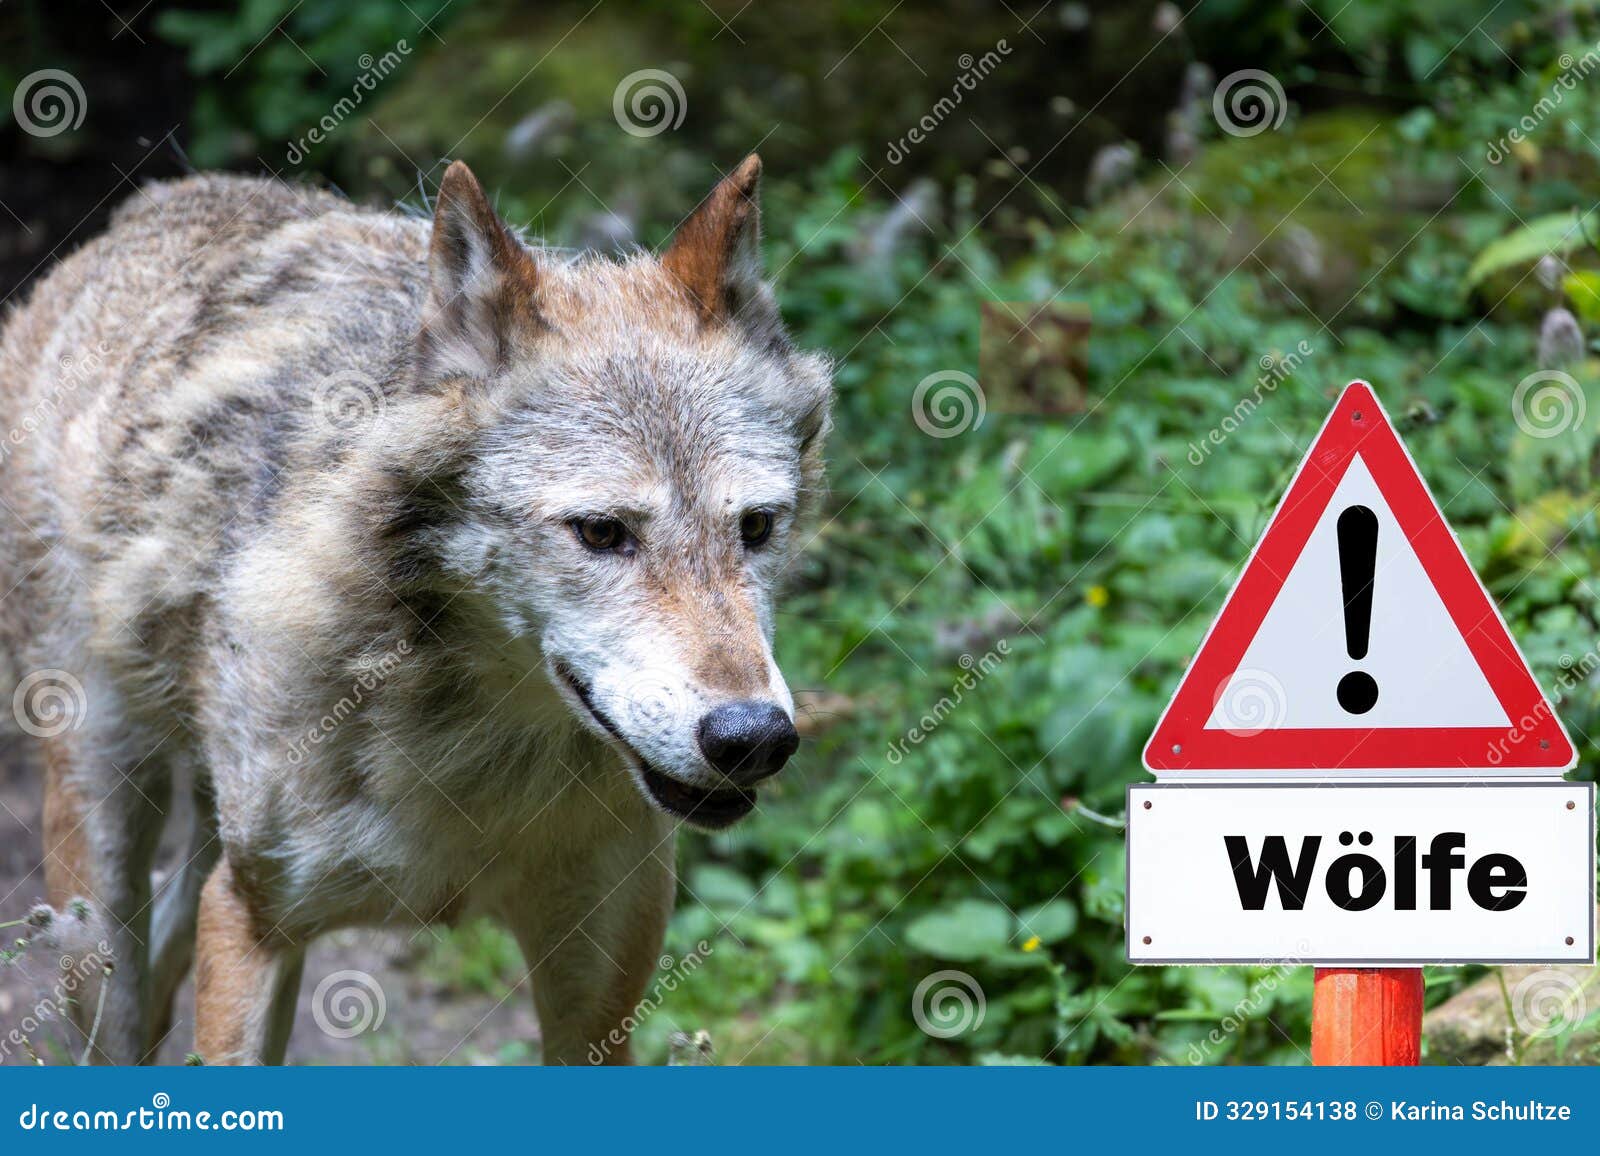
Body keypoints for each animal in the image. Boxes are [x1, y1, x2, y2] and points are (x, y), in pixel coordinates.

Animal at [0, 154, 831, 1064]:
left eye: (757, 527)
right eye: (601, 532)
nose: (753, 738)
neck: (479, 759)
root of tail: (156, 204)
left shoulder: (600, 992)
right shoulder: (253, 926)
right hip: (99, 871)